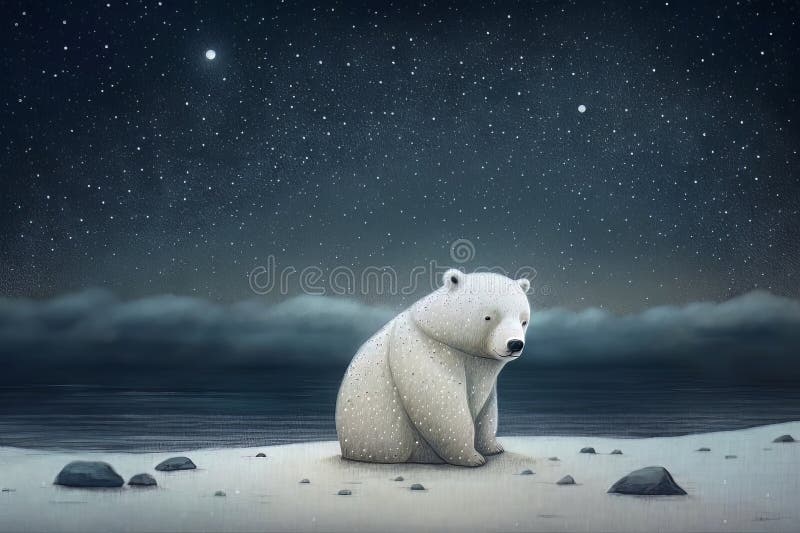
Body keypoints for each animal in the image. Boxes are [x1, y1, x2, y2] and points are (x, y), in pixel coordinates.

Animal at [335, 269, 530, 466]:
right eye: (488, 317)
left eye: (523, 321)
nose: (515, 344)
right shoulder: (426, 349)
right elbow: (442, 403)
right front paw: (472, 457)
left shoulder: (482, 368)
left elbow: (487, 410)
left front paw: (493, 447)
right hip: (377, 434)